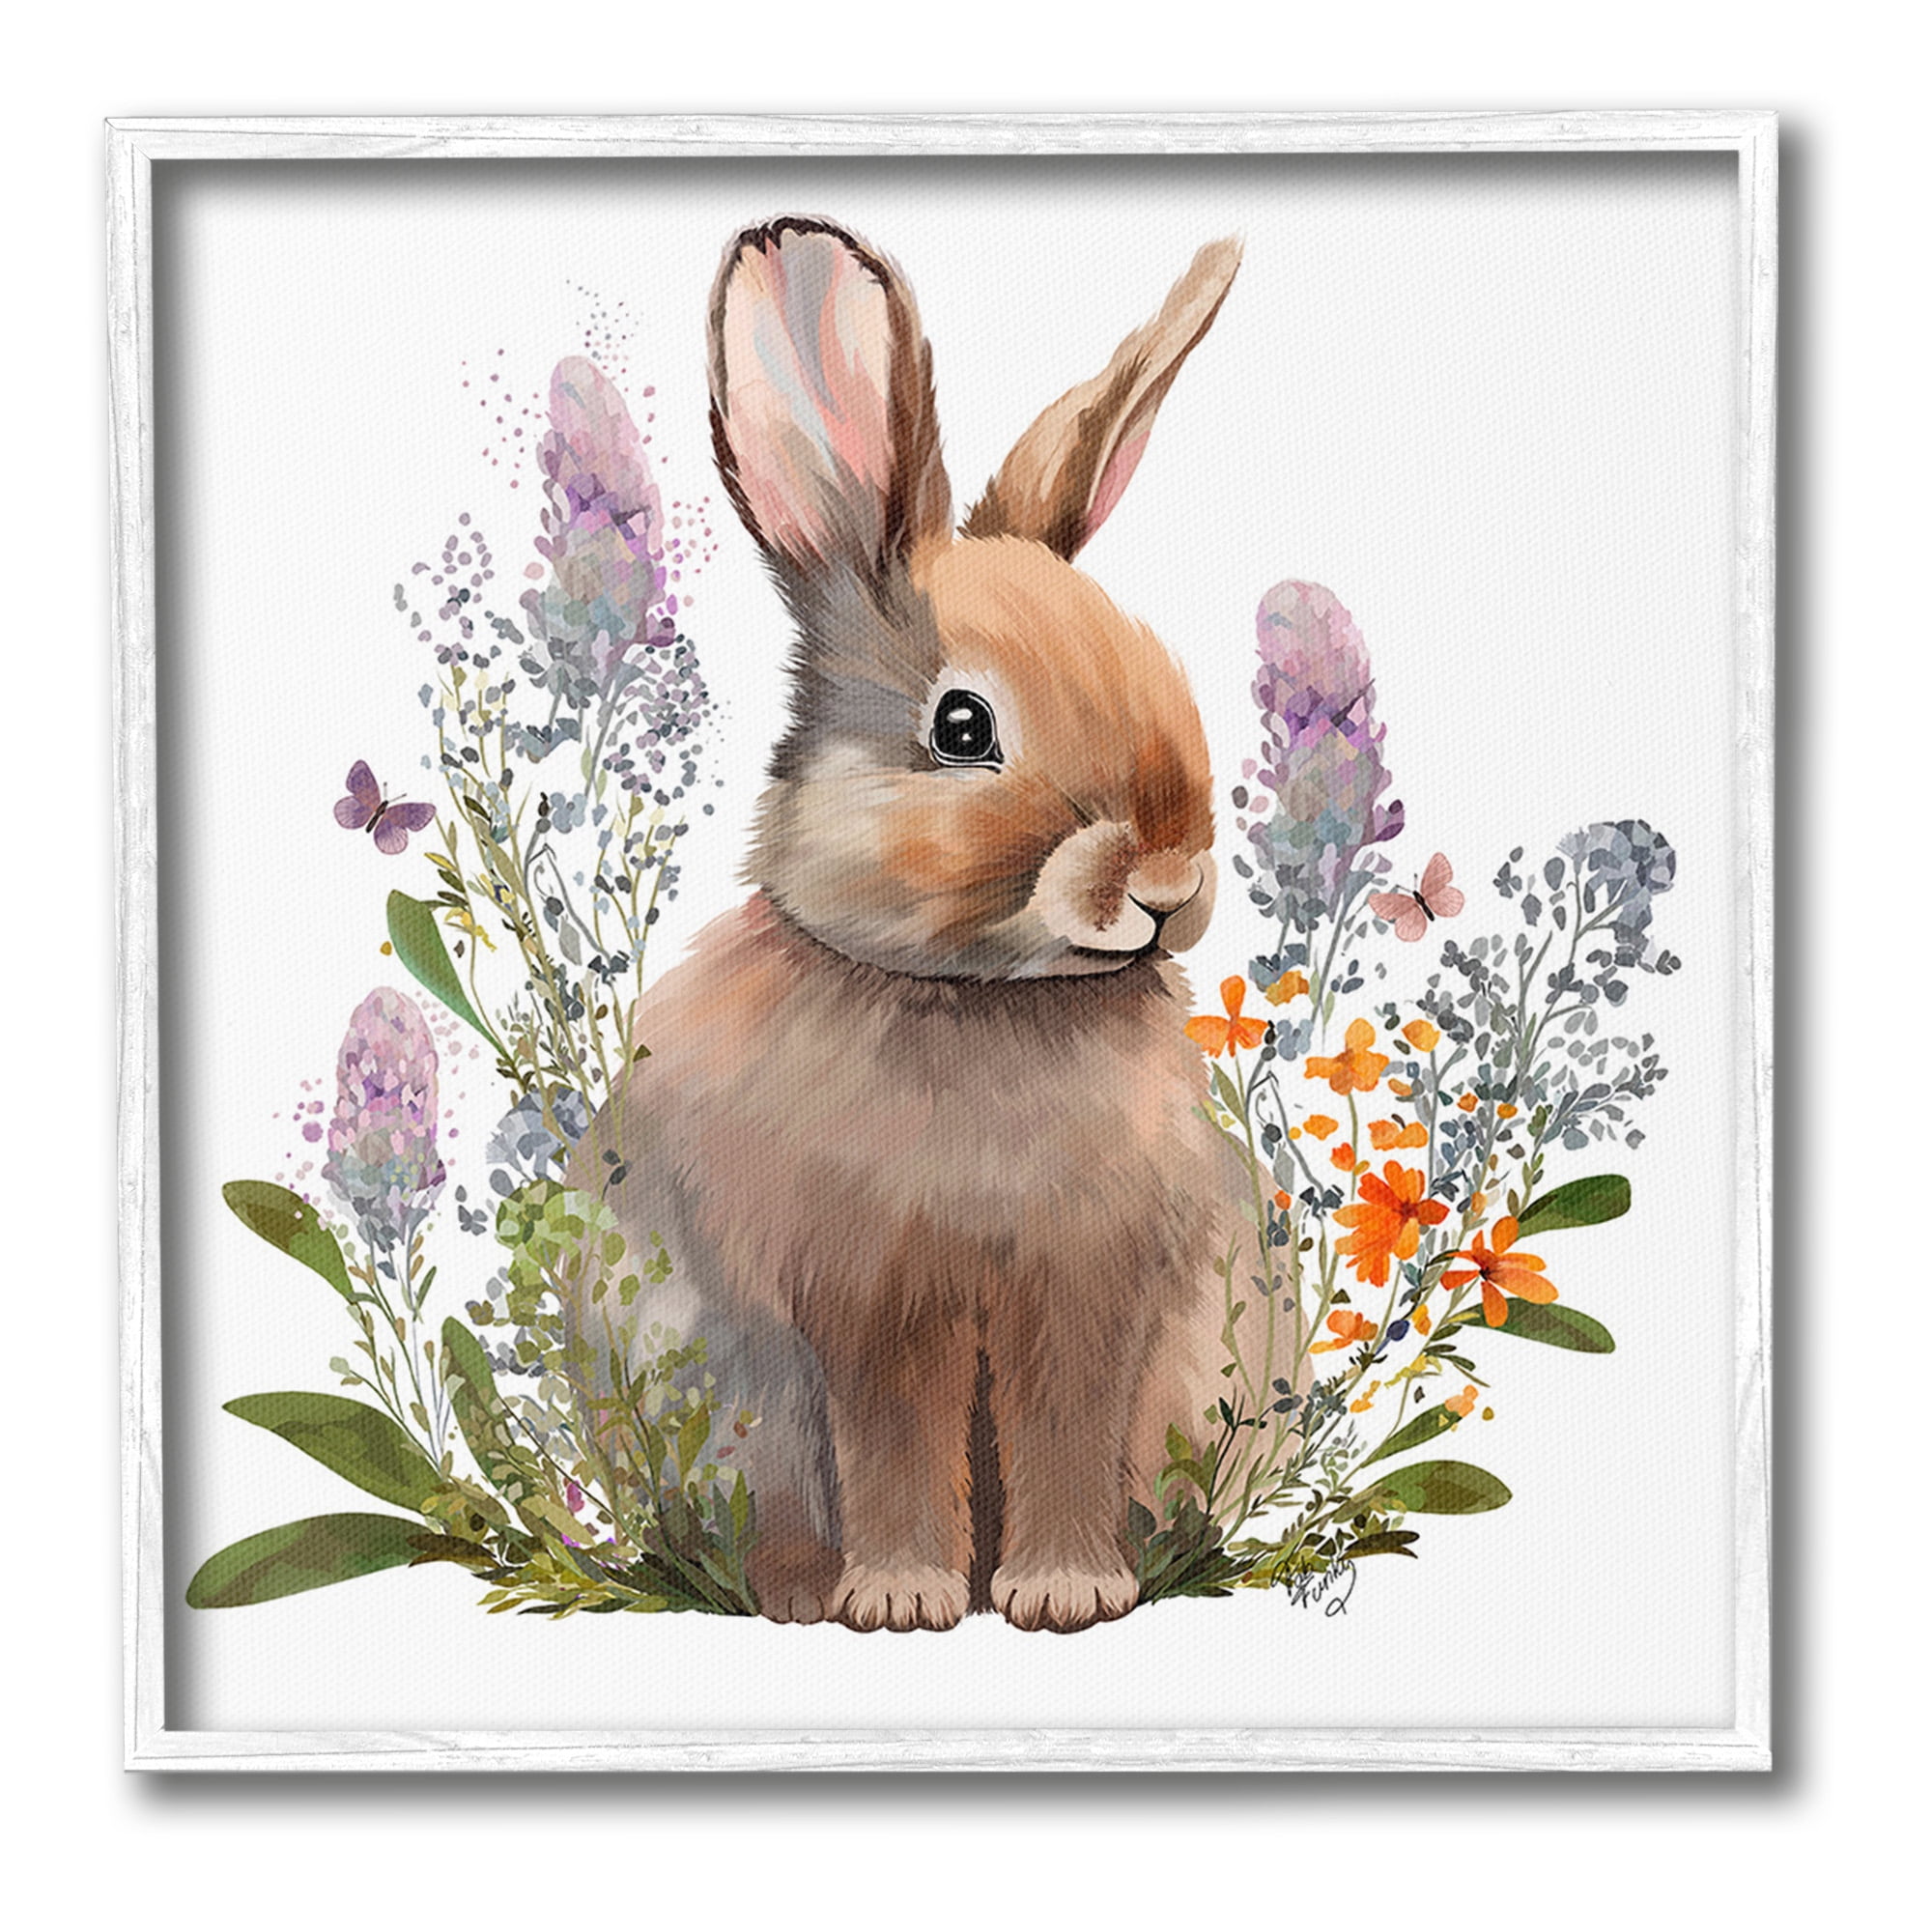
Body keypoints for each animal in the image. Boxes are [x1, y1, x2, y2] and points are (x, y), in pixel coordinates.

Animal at [569, 215, 1253, 1633]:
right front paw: (901, 1599)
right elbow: (892, 1440)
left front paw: (1063, 1593)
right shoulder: (870, 1296)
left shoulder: (1089, 1283)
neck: (981, 997)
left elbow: (1067, 1429)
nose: (1166, 887)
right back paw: (794, 1592)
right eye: (962, 726)